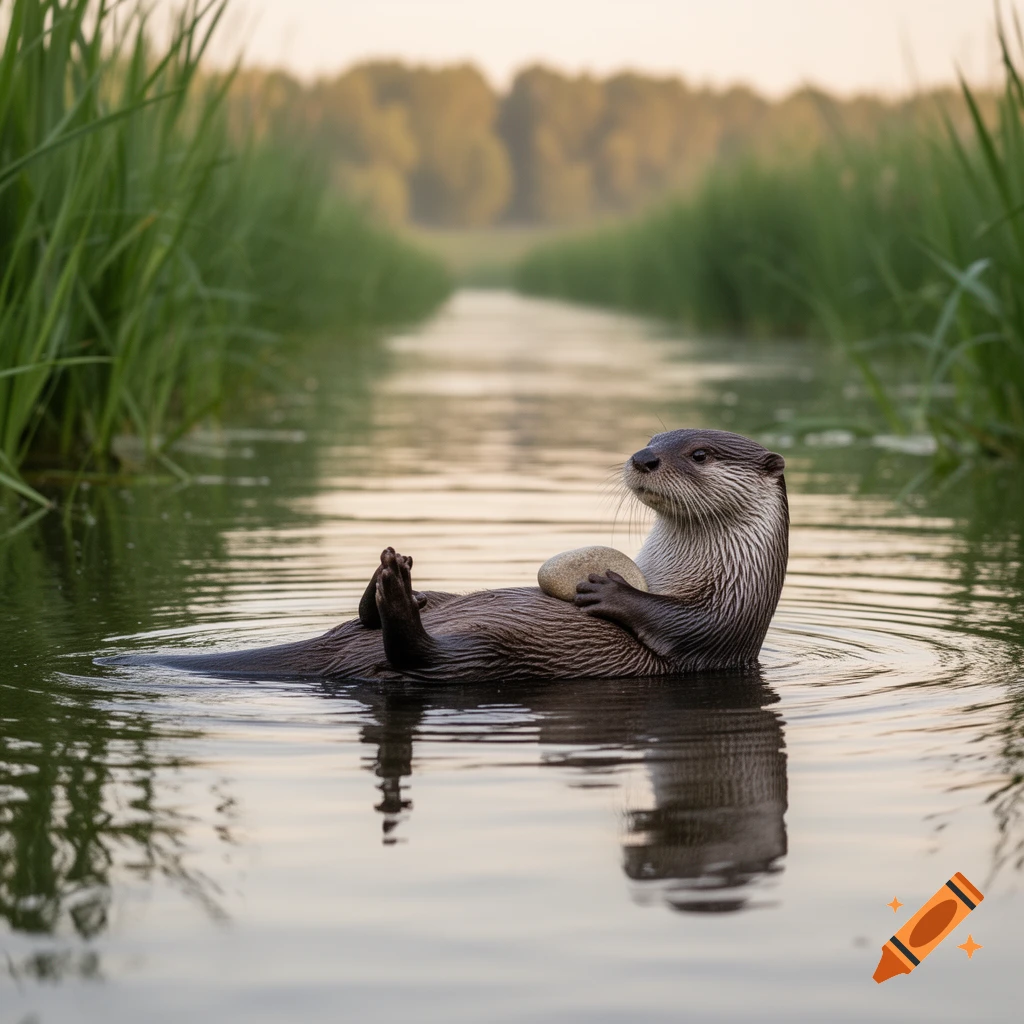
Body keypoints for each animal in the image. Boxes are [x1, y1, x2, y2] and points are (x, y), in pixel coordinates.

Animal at [101, 429, 788, 683]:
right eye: (651, 438)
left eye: (697, 453)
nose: (643, 459)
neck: (677, 569)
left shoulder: (732, 617)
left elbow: (688, 624)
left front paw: (607, 589)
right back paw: (390, 583)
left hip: (488, 658)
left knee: (421, 658)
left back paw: (398, 598)